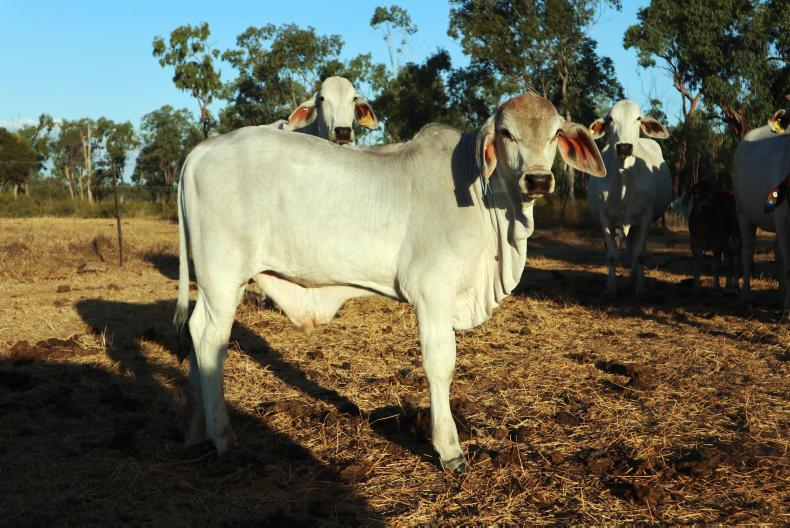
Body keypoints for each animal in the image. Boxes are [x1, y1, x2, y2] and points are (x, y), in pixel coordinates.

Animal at [173, 92, 606, 473]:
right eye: (506, 133)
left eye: (554, 133)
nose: (538, 180)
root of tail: (202, 149)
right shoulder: (432, 292)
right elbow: (440, 364)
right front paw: (450, 452)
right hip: (222, 276)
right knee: (210, 341)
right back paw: (223, 438)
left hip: (221, 284)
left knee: (195, 333)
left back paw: (194, 432)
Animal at [587, 99, 672, 298]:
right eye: (611, 119)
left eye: (638, 118)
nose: (624, 147)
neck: (624, 177)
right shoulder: (605, 219)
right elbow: (612, 256)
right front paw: (610, 288)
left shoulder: (645, 218)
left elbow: (639, 255)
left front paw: (640, 289)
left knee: (635, 251)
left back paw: (634, 280)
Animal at [732, 122, 790, 319]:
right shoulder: (783, 219)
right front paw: (788, 312)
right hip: (742, 213)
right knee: (747, 252)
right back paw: (746, 298)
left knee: (778, 254)